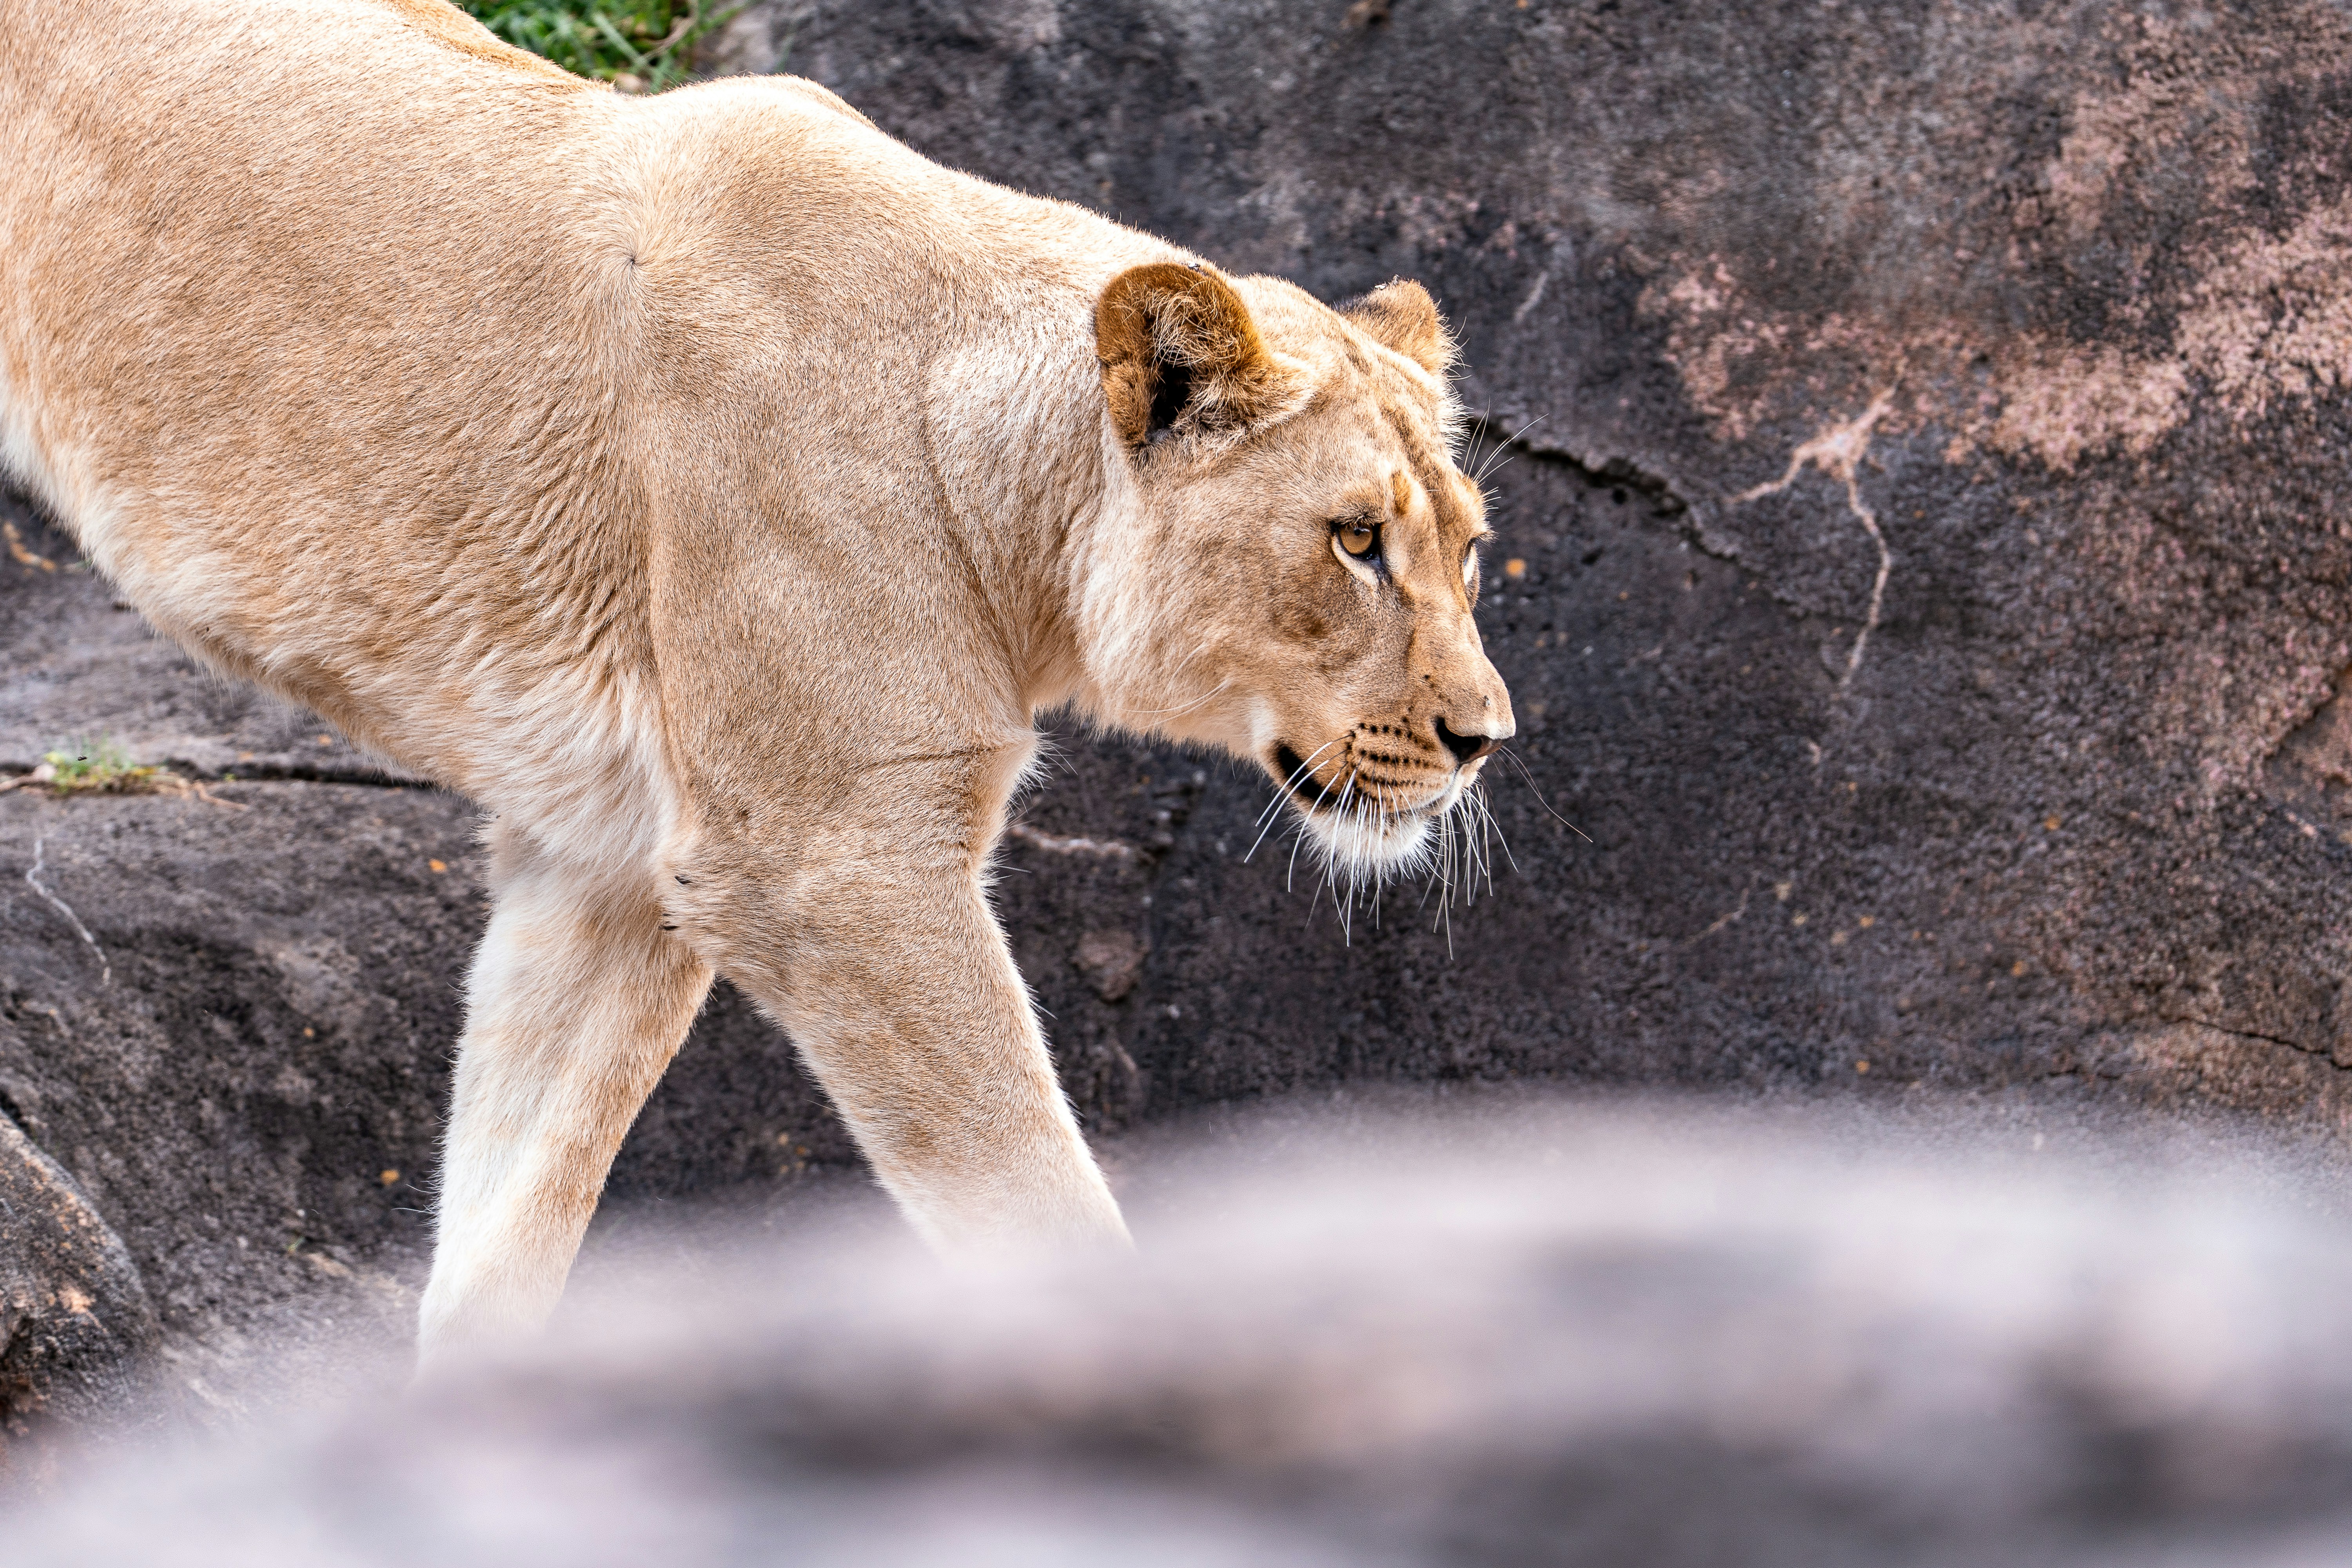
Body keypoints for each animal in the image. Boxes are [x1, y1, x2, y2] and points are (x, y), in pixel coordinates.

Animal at [0, 0, 1514, 1357]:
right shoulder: (830, 864)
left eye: (1468, 550)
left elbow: (510, 1224)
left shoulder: (611, 866)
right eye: (1356, 541)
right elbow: (1032, 1194)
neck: (1004, 500)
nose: (1486, 736)